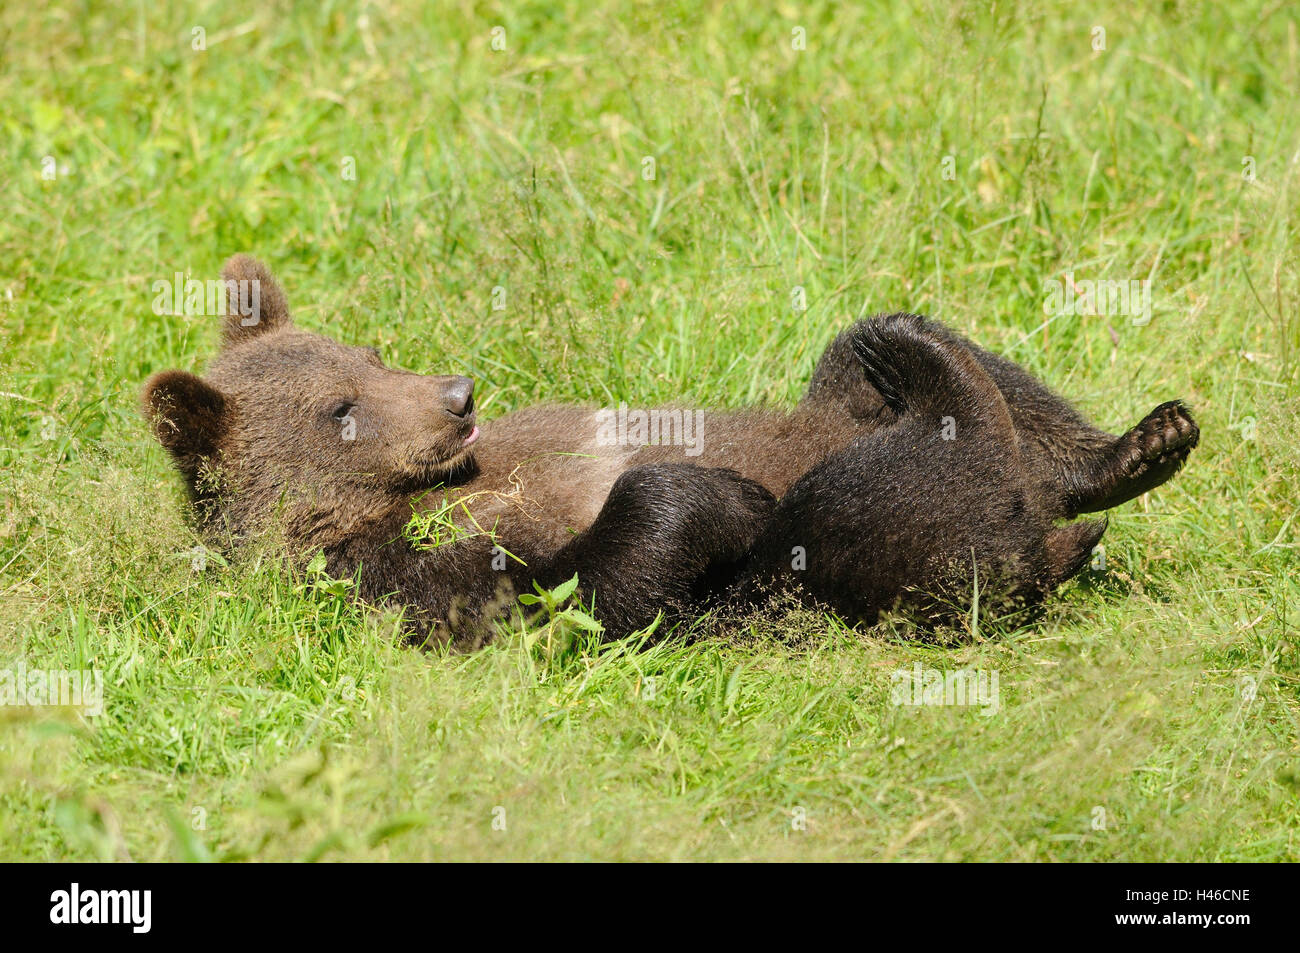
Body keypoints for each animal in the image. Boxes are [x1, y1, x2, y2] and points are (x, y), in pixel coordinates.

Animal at [142, 256, 1198, 646]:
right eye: (341, 410)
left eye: (367, 353)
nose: (458, 397)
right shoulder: (396, 580)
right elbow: (589, 584)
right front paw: (723, 496)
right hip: (880, 557)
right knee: (882, 523)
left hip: (854, 407)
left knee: (894, 362)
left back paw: (1144, 443)